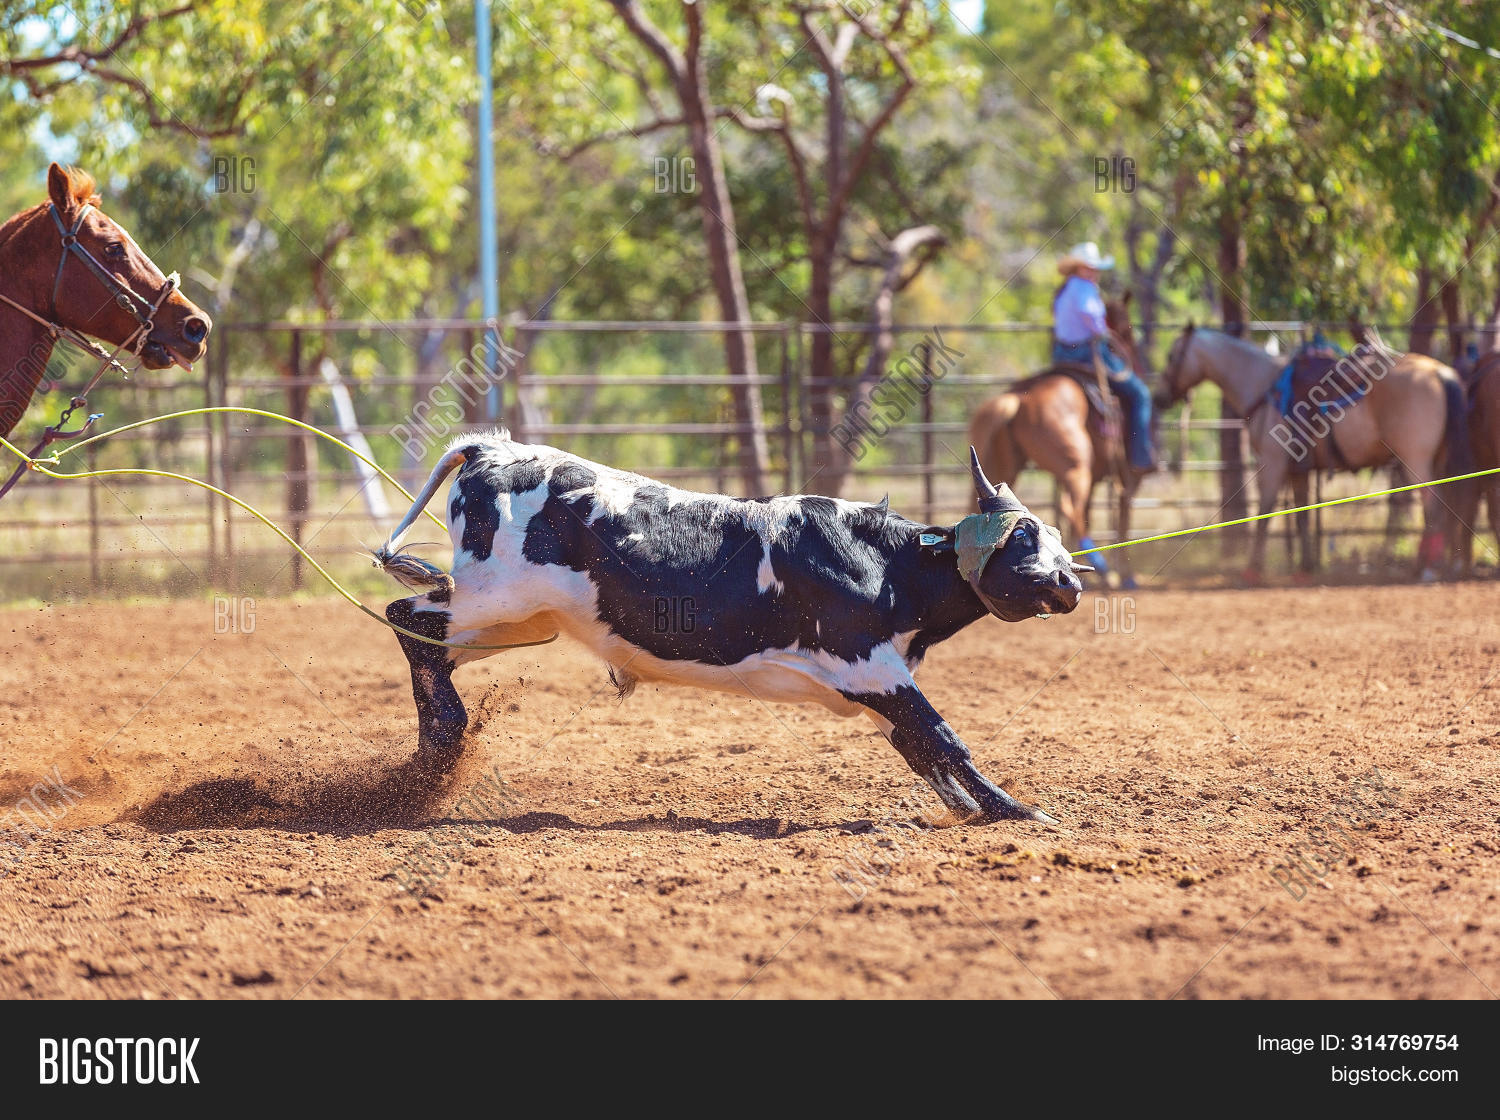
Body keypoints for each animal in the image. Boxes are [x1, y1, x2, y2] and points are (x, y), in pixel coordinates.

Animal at [373, 432, 1085, 824]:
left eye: (1053, 534)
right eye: (1023, 534)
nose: (1070, 582)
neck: (883, 562)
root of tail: (495, 449)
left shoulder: (874, 686)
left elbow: (921, 748)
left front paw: (977, 808)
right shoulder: (871, 666)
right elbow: (942, 737)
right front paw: (1019, 811)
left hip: (515, 620)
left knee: (428, 644)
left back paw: (435, 754)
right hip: (491, 599)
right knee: (407, 619)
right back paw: (441, 744)